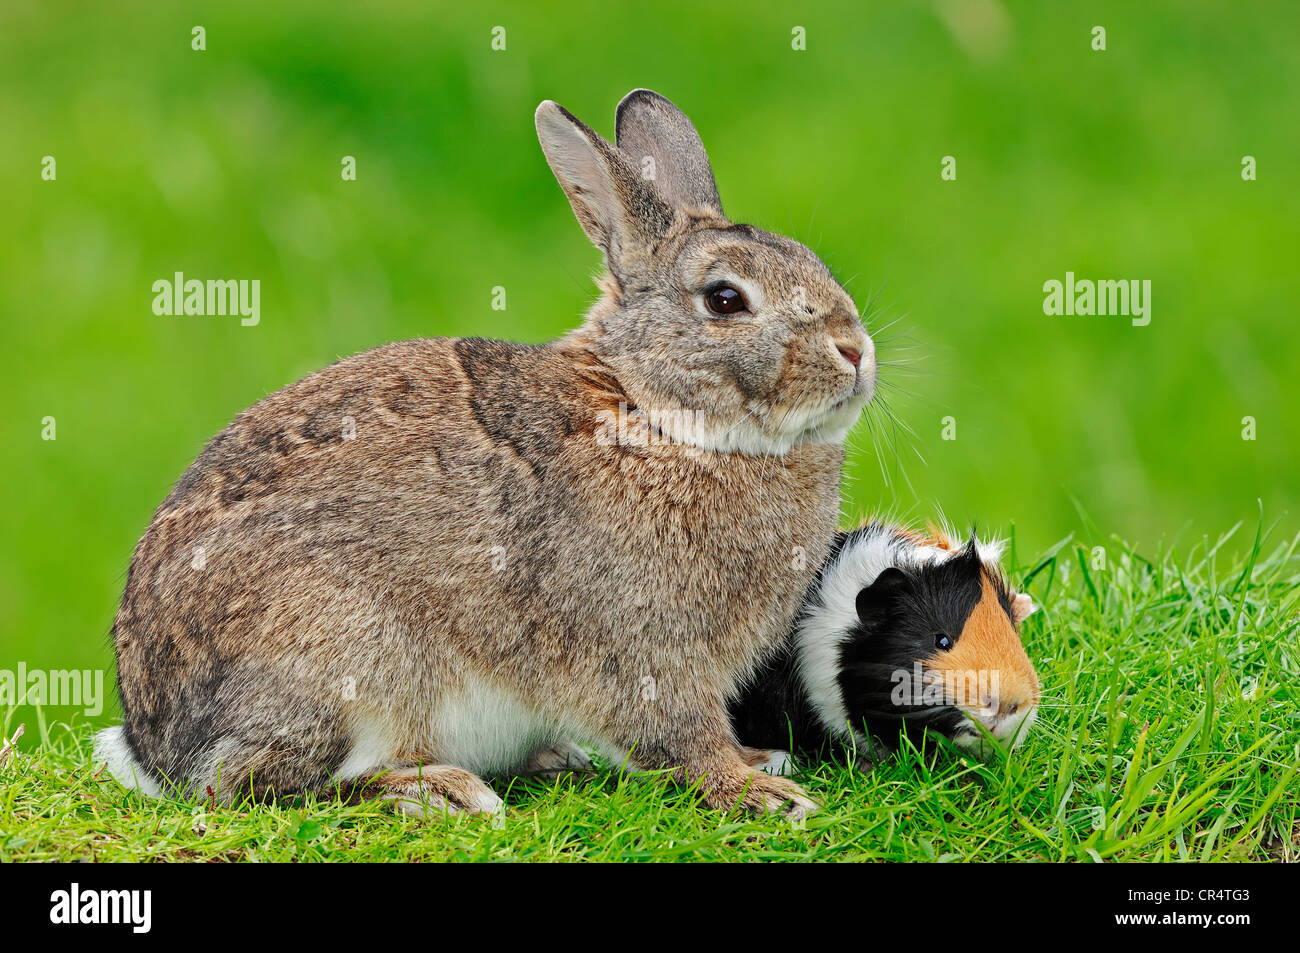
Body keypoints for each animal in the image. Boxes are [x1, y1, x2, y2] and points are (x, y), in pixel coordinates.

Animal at [95, 89, 876, 820]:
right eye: (724, 299)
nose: (856, 351)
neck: (651, 411)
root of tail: (156, 746)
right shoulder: (644, 647)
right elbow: (679, 733)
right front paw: (756, 790)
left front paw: (760, 761)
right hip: (344, 660)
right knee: (257, 787)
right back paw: (436, 791)